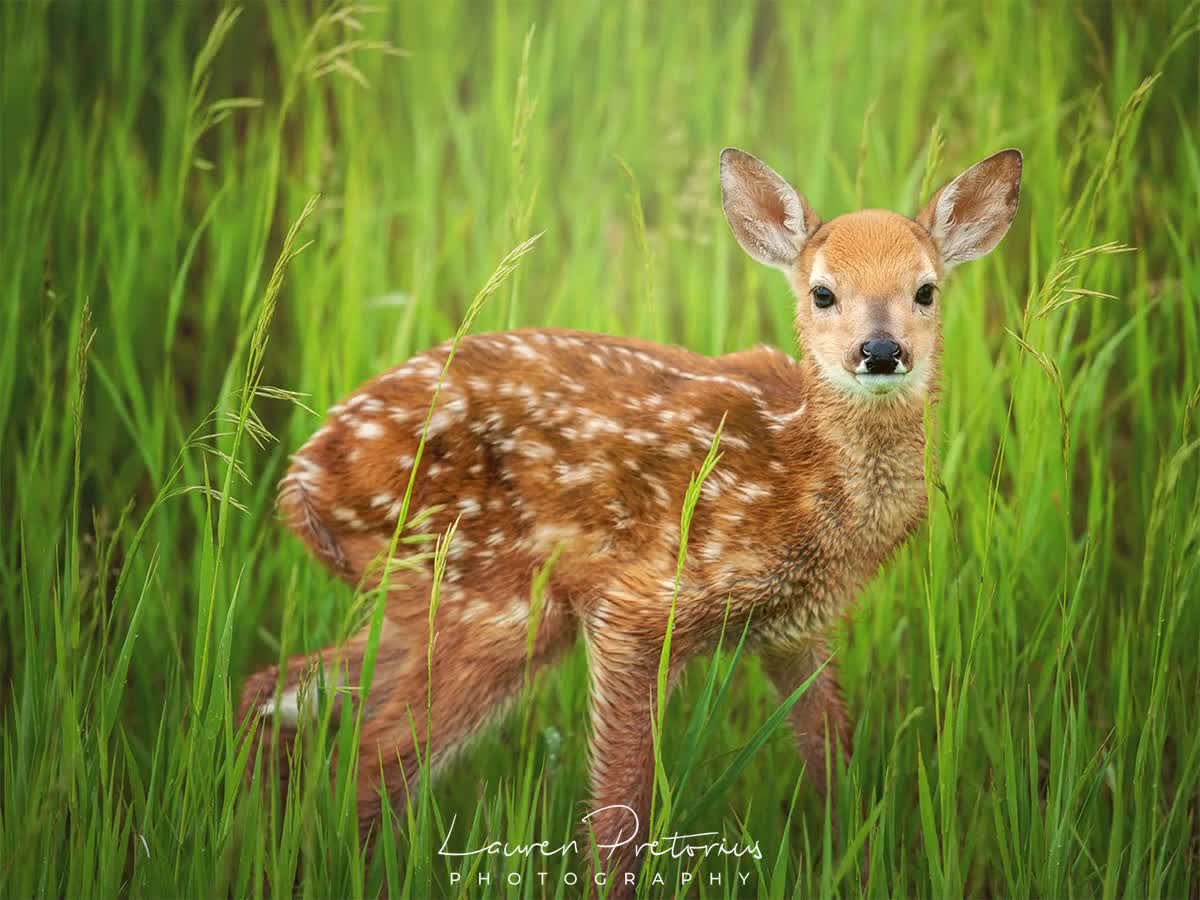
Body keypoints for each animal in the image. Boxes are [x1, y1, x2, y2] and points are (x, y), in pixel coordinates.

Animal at [239, 146, 1022, 891]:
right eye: (822, 293)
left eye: (926, 290)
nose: (882, 351)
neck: (803, 479)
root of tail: (302, 479)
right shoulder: (640, 606)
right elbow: (621, 816)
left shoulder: (797, 629)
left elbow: (838, 775)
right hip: (487, 601)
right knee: (369, 766)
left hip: (425, 602)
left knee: (274, 696)